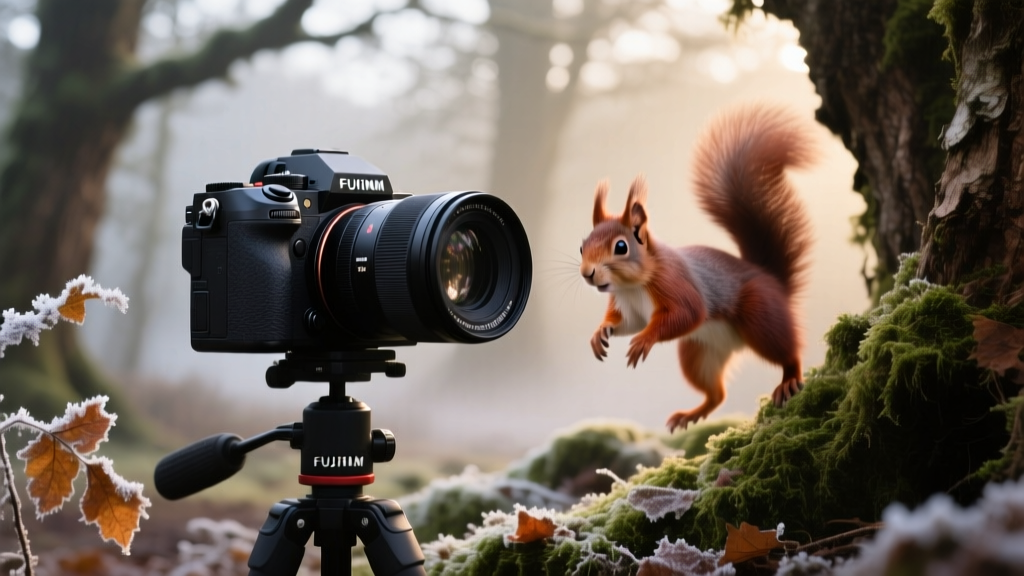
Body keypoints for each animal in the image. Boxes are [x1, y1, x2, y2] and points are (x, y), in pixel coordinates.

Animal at [579, 104, 816, 433]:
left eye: (621, 247)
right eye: (581, 246)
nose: (587, 274)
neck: (632, 287)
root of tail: (773, 281)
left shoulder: (674, 283)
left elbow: (689, 312)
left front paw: (645, 340)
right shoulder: (628, 308)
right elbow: (628, 323)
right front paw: (600, 332)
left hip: (761, 318)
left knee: (787, 351)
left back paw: (790, 379)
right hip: (699, 352)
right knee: (717, 394)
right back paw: (691, 414)